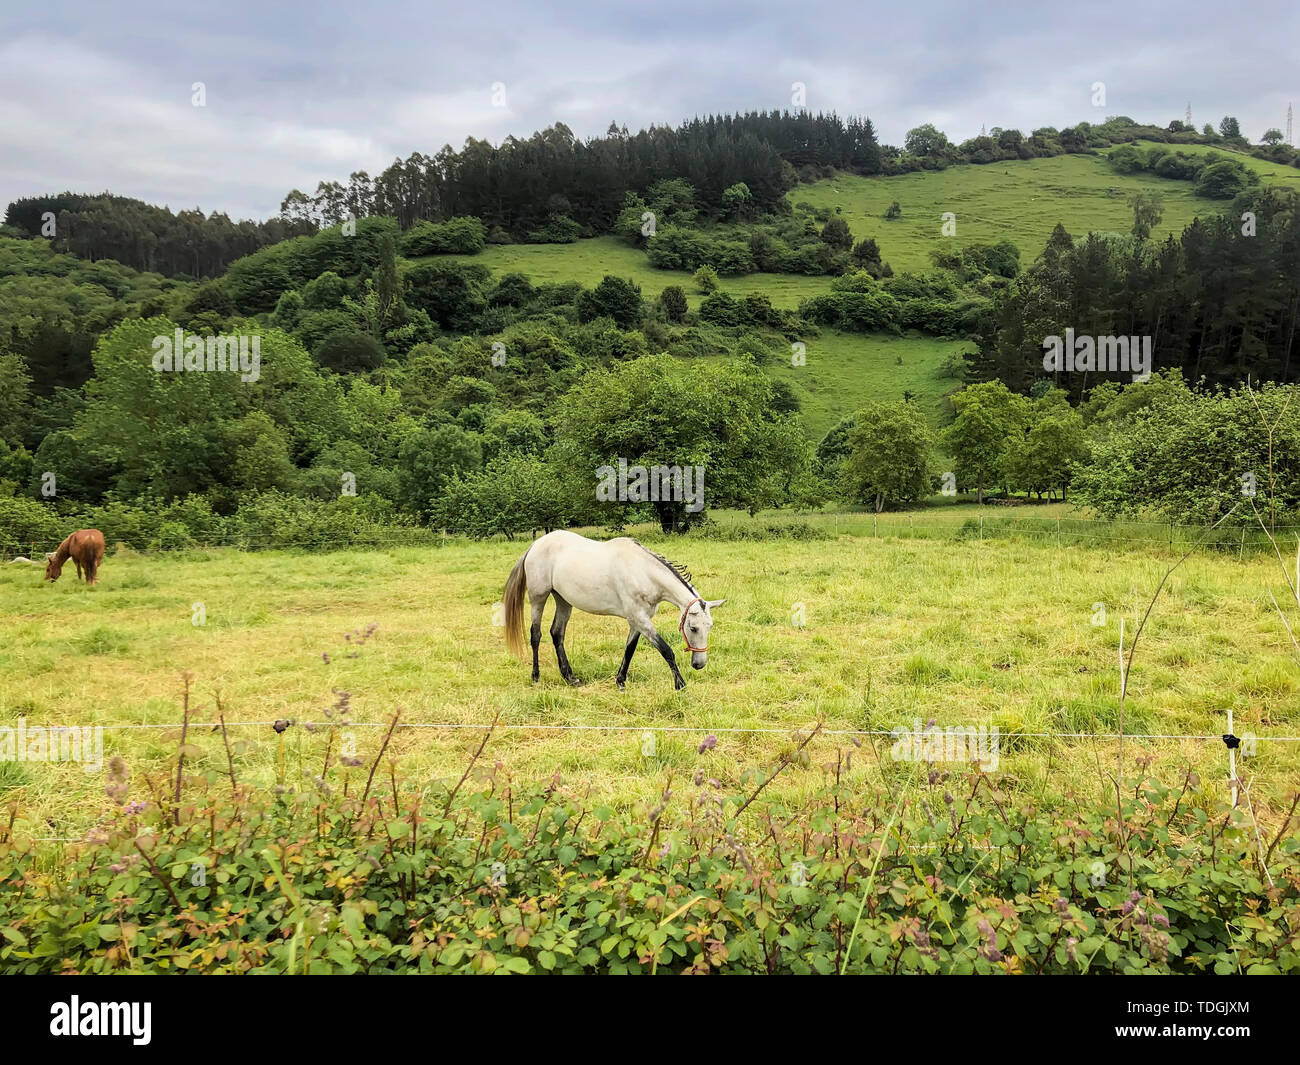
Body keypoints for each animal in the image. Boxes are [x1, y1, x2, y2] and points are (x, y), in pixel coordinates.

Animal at [503, 530, 724, 690]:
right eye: (693, 628)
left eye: (710, 627)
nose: (699, 664)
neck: (642, 572)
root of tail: (535, 545)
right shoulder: (640, 619)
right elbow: (666, 650)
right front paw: (680, 685)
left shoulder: (638, 620)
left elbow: (629, 649)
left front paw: (620, 681)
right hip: (538, 598)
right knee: (536, 635)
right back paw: (536, 676)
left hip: (564, 601)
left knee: (557, 634)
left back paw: (570, 677)